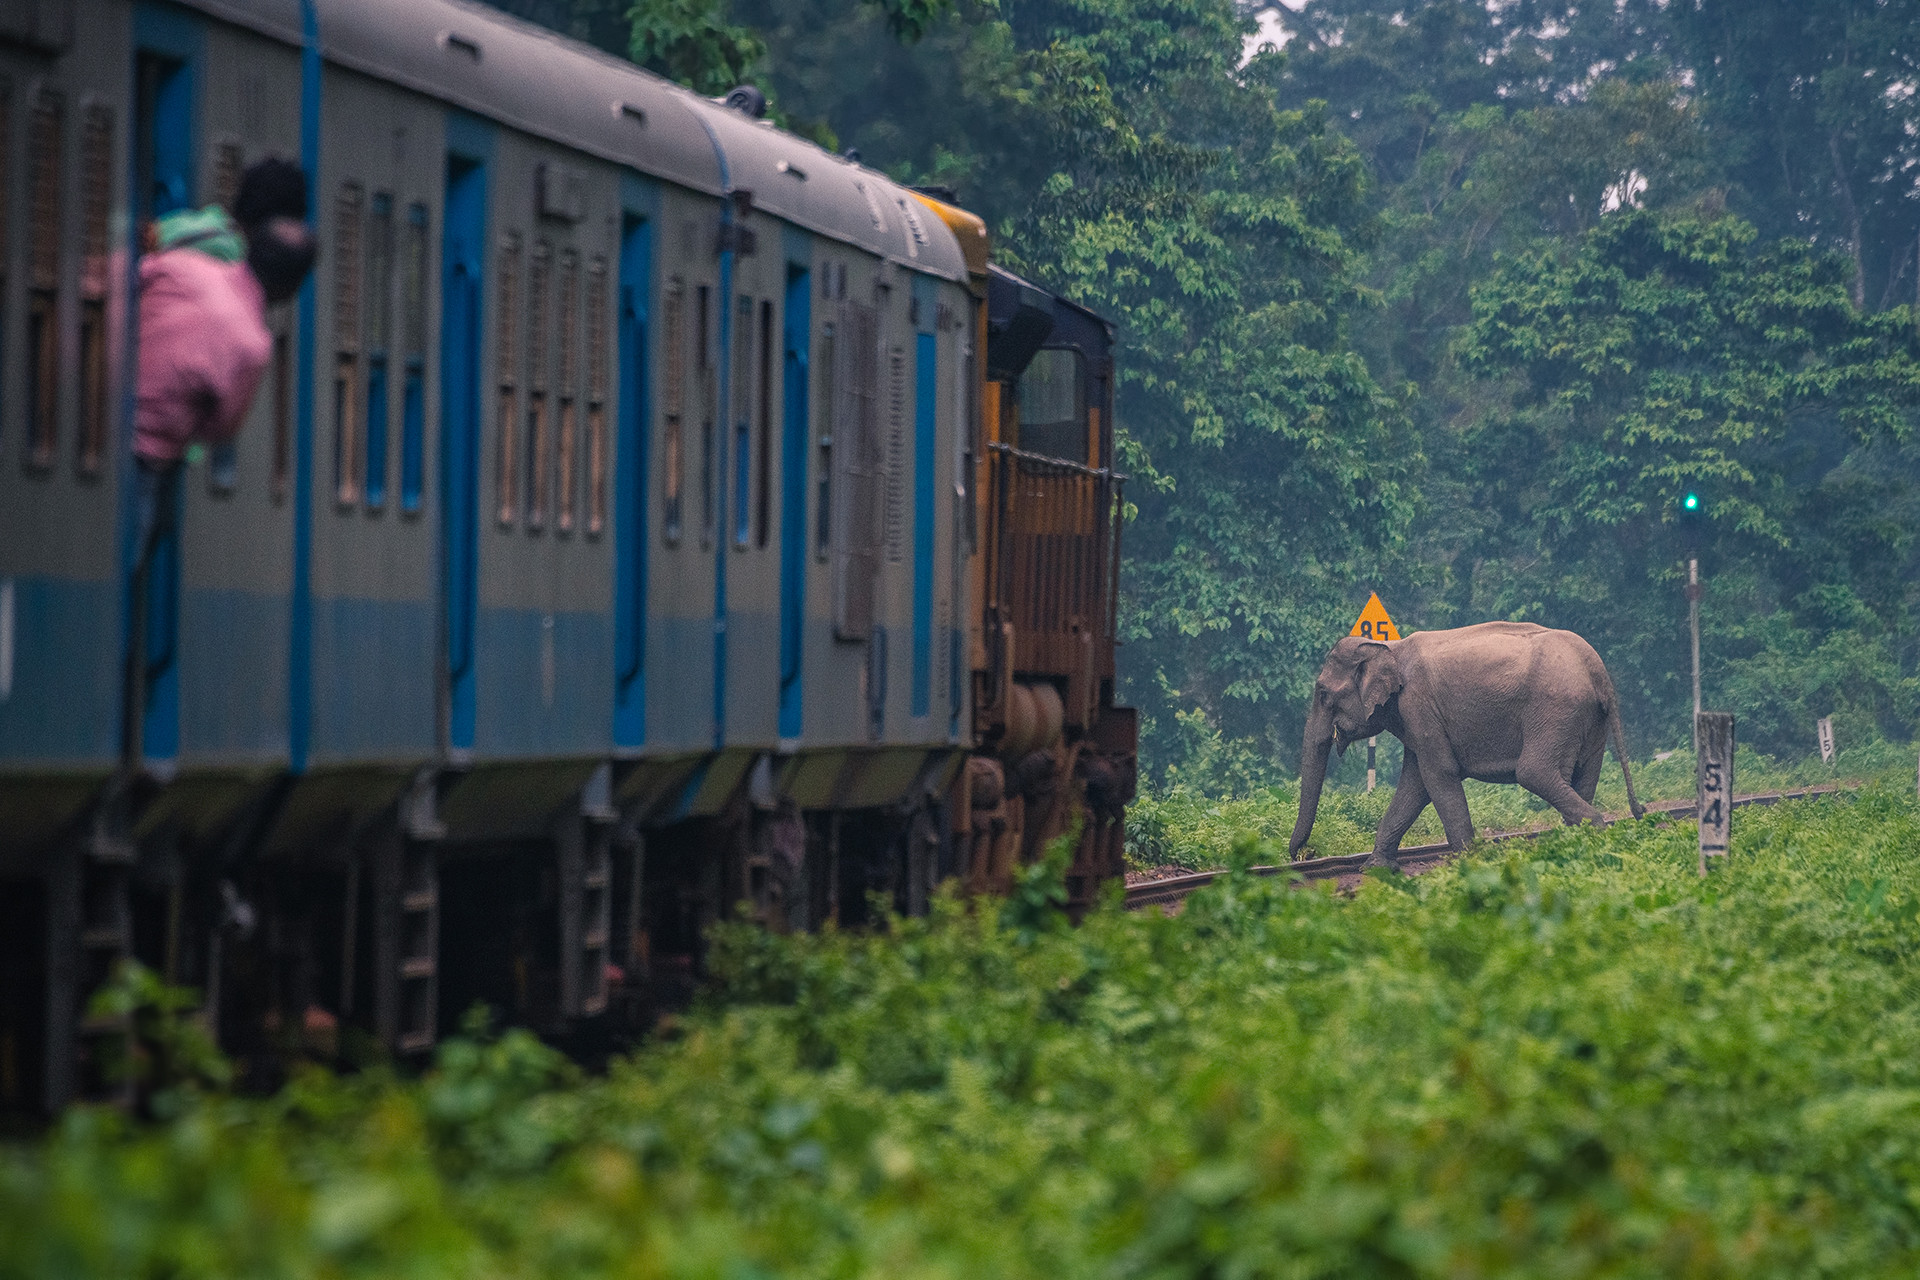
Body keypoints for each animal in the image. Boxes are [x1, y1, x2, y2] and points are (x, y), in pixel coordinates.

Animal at [1287, 621, 1645, 864]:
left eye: (1323, 694)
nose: (1301, 854)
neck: (1388, 648)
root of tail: (1596, 668)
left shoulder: (1419, 707)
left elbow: (1438, 775)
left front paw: (1467, 862)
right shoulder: (1416, 719)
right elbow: (1414, 784)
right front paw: (1376, 868)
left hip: (1556, 710)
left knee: (1535, 772)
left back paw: (1594, 831)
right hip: (1589, 720)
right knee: (1584, 776)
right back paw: (1578, 839)